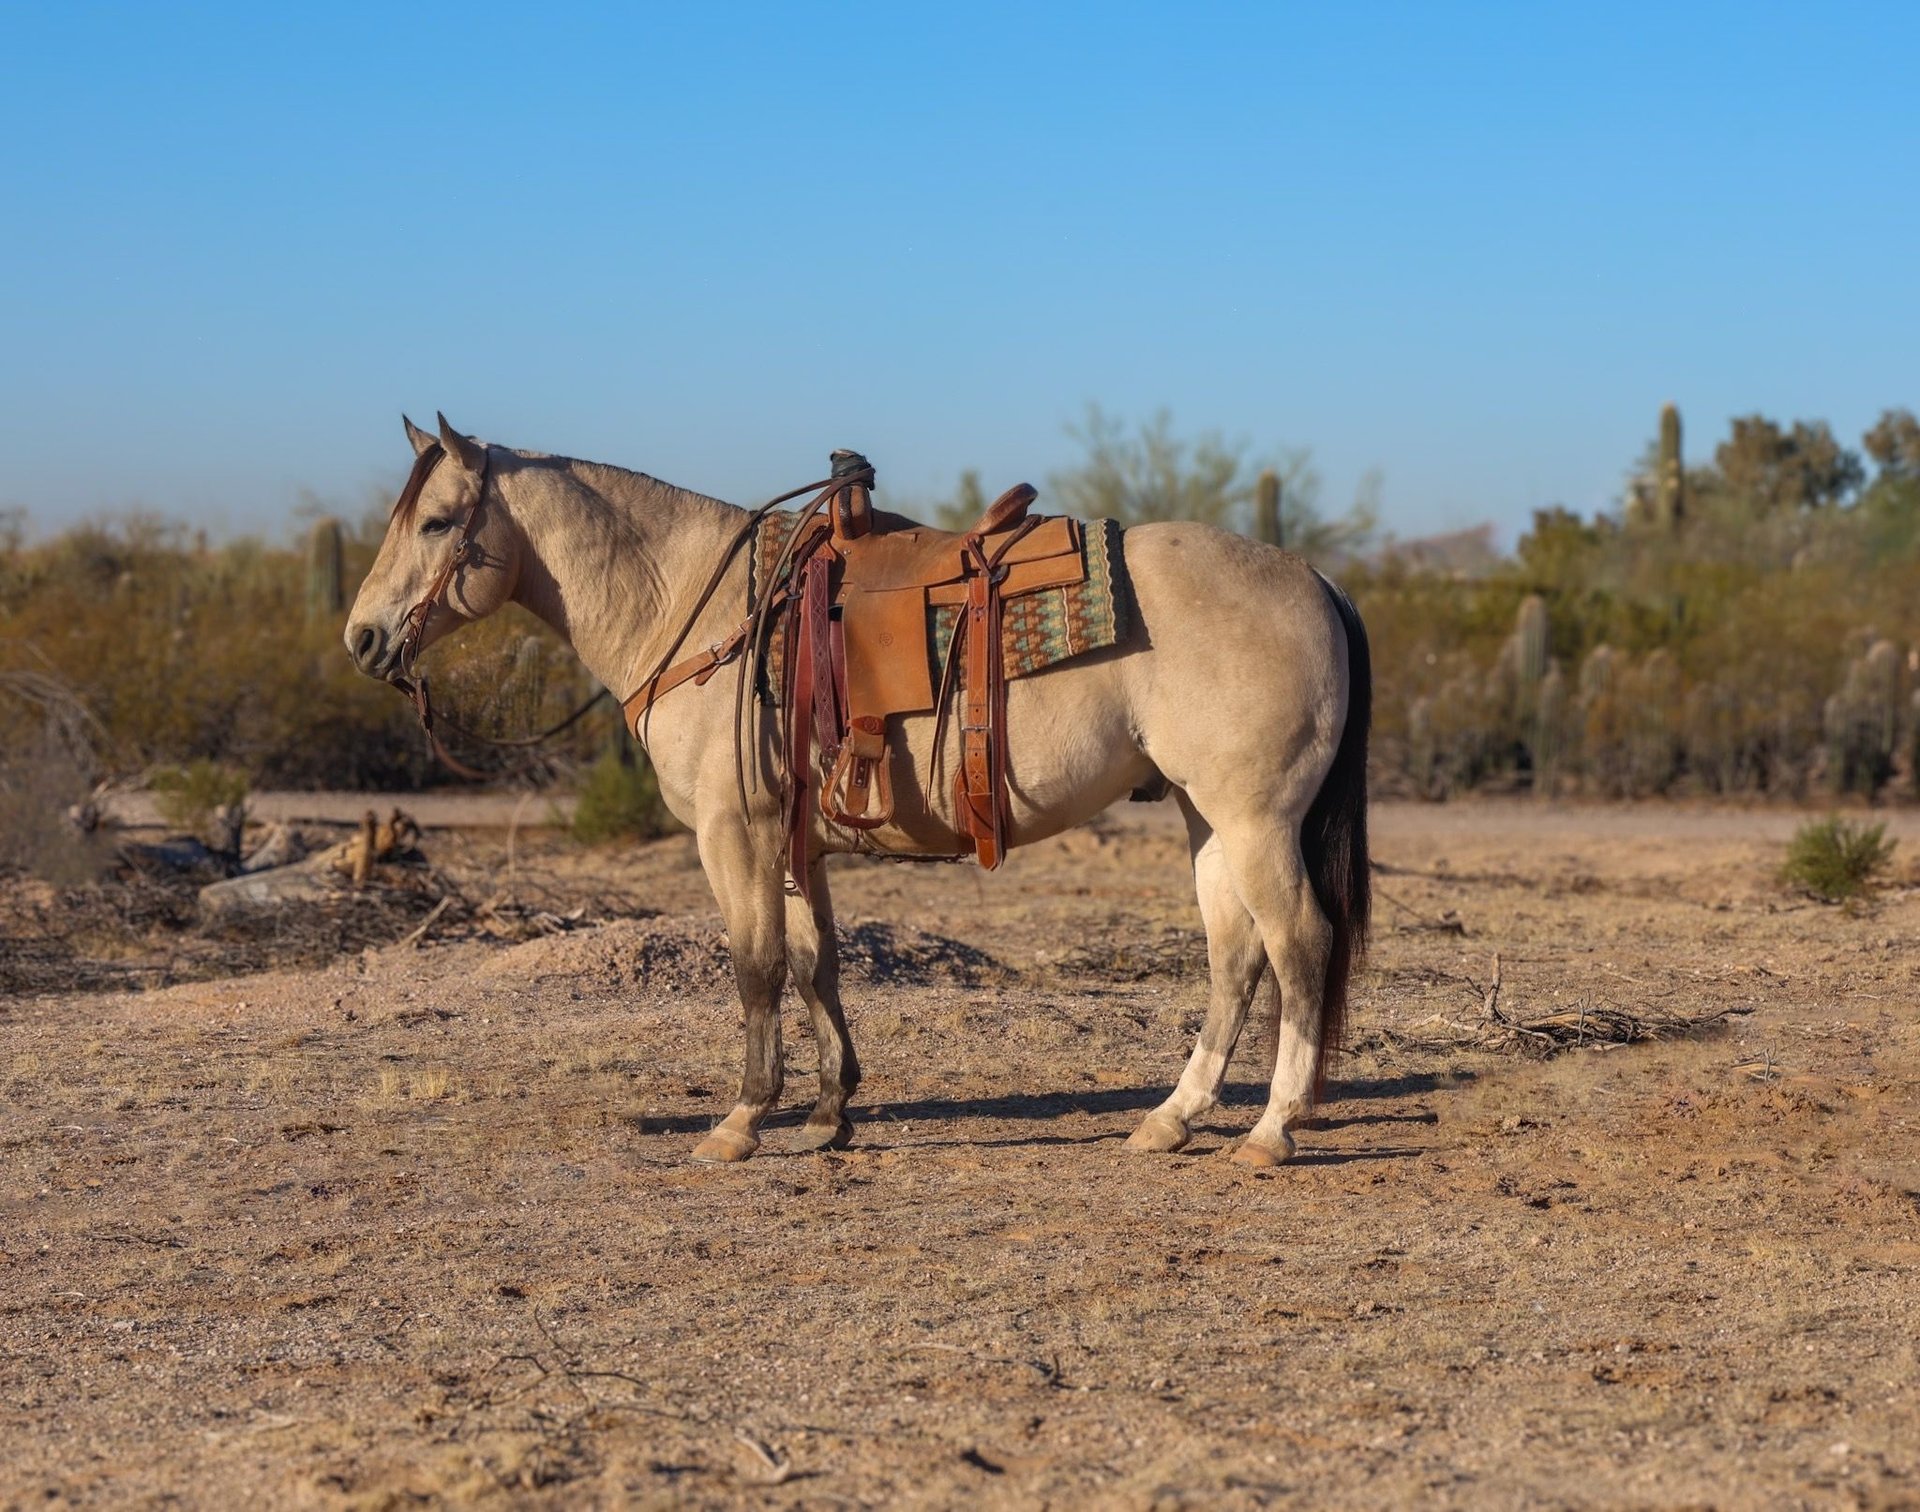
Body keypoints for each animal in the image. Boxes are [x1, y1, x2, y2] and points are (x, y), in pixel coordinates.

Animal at [344, 414, 1370, 1167]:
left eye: (436, 522)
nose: (362, 638)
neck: (696, 606)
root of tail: (1317, 579)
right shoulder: (797, 843)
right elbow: (814, 964)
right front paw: (829, 1110)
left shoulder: (737, 835)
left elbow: (756, 968)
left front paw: (742, 1121)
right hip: (1208, 820)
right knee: (1236, 958)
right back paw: (1171, 1118)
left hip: (1255, 821)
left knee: (1299, 945)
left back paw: (1270, 1131)